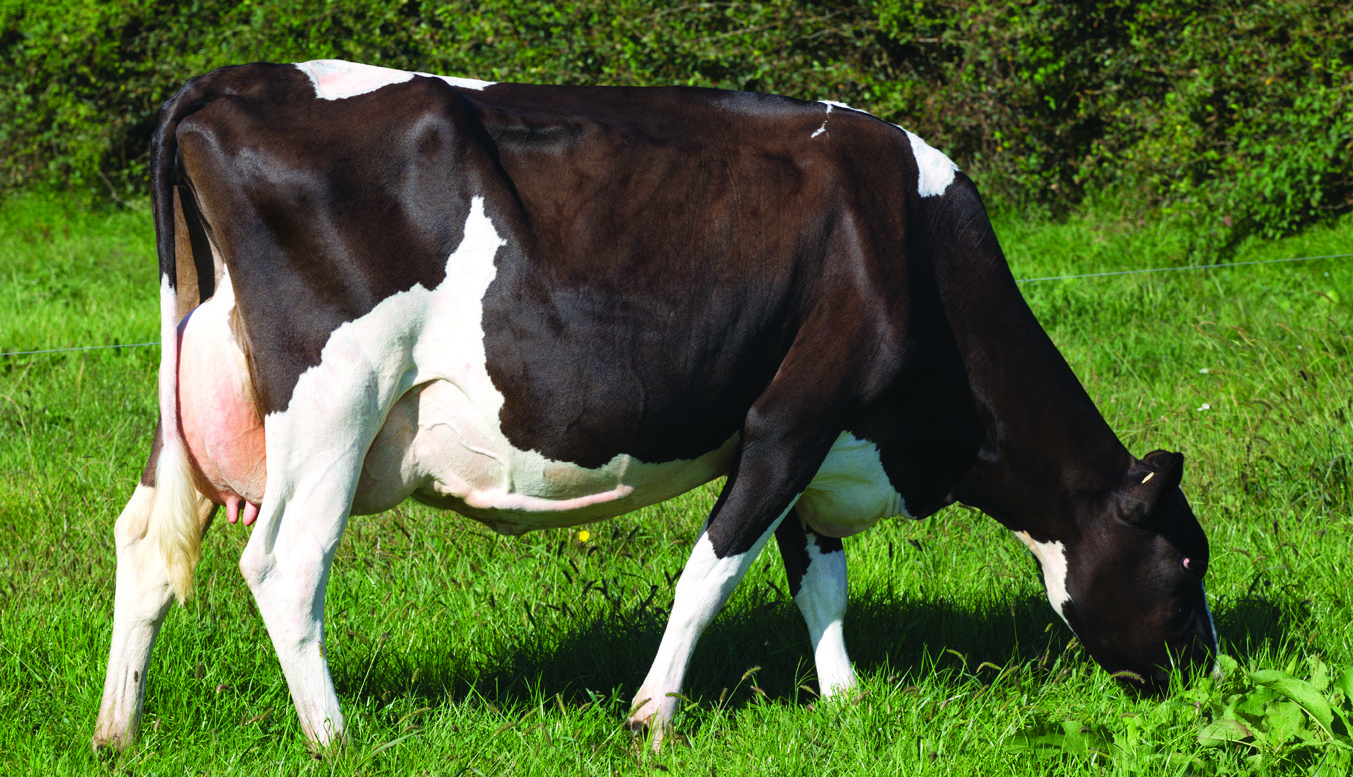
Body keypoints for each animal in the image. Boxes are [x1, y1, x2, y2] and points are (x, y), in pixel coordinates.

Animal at [92, 59, 1217, 753]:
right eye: (1183, 564)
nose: (1209, 674)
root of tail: (235, 81)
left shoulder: (815, 443)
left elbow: (821, 579)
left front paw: (846, 702)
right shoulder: (789, 419)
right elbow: (710, 576)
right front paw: (650, 718)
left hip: (194, 385)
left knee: (144, 541)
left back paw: (117, 732)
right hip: (335, 395)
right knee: (285, 563)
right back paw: (336, 741)